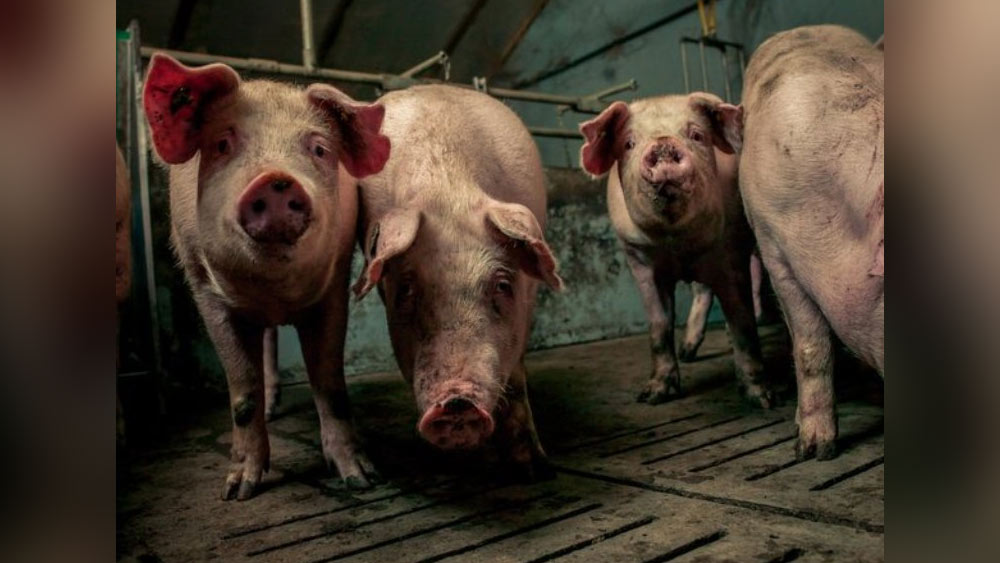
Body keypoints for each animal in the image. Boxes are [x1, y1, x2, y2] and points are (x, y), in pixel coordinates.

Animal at [142, 54, 390, 499]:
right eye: (222, 144)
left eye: (319, 149)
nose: (277, 180)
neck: (275, 292)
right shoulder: (204, 287)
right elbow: (243, 391)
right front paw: (237, 491)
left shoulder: (334, 283)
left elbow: (330, 383)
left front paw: (362, 479)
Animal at [353, 85, 563, 480]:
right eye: (406, 288)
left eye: (502, 285)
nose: (456, 400)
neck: (446, 191)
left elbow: (515, 382)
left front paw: (535, 470)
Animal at [579, 93, 774, 408]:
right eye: (628, 143)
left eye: (696, 135)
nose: (663, 144)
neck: (677, 242)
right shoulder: (640, 260)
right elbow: (659, 325)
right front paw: (652, 396)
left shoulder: (731, 250)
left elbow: (743, 324)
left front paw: (763, 399)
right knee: (703, 291)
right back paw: (687, 352)